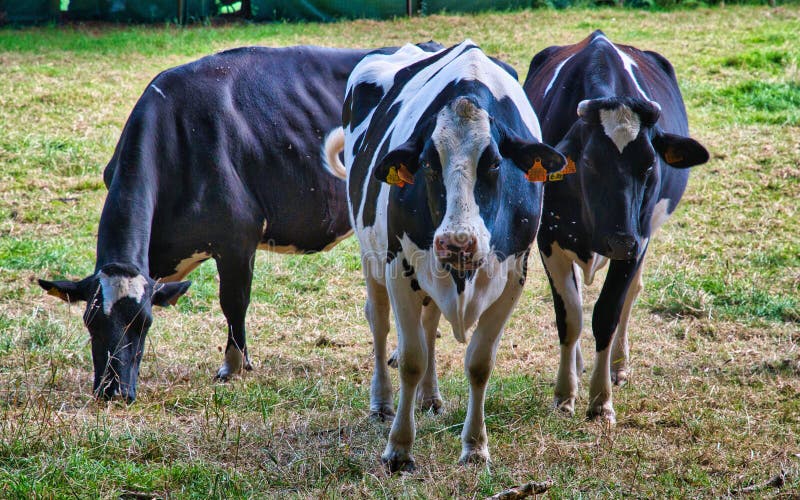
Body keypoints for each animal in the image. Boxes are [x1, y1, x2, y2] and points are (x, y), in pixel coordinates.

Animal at [37, 45, 379, 403]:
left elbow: (234, 302)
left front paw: (234, 366)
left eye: (144, 323)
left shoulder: (238, 239)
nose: (114, 391)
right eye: (90, 321)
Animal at [332, 40, 566, 471]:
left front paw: (475, 446)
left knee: (429, 326)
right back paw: (381, 402)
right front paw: (399, 449)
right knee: (379, 323)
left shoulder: (514, 276)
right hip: (371, 257)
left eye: (494, 162)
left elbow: (479, 363)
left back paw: (430, 397)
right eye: (427, 162)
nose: (458, 242)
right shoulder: (398, 267)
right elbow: (410, 359)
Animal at [522, 30, 709, 423]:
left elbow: (607, 312)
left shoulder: (639, 240)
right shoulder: (549, 240)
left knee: (630, 295)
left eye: (650, 164)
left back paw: (618, 365)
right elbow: (569, 316)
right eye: (589, 162)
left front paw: (600, 399)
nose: (620, 241)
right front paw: (565, 393)